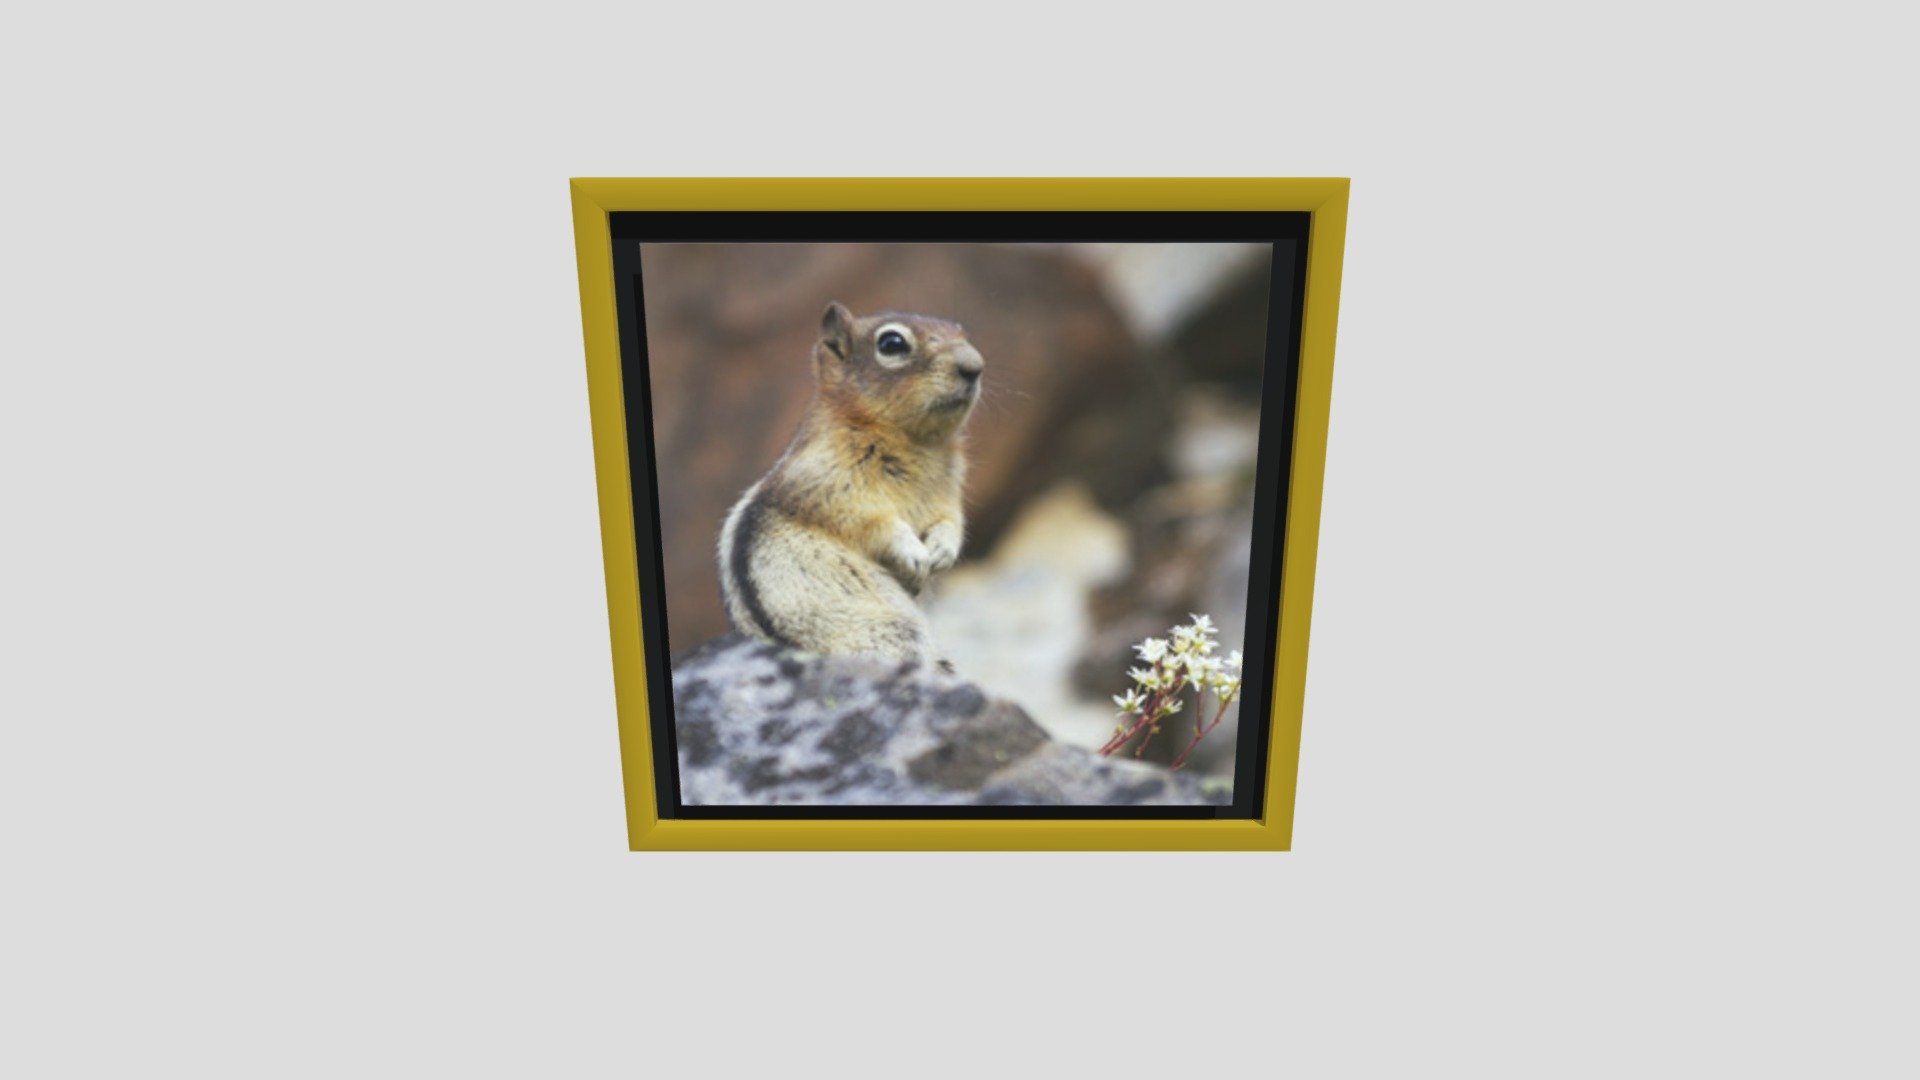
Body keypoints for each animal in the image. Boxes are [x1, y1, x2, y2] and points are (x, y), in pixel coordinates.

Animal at [718, 302, 984, 664]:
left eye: (962, 333)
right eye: (891, 344)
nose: (975, 366)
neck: (917, 442)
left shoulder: (947, 495)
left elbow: (950, 521)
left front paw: (942, 550)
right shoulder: (830, 484)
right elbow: (873, 523)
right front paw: (914, 554)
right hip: (892, 633)